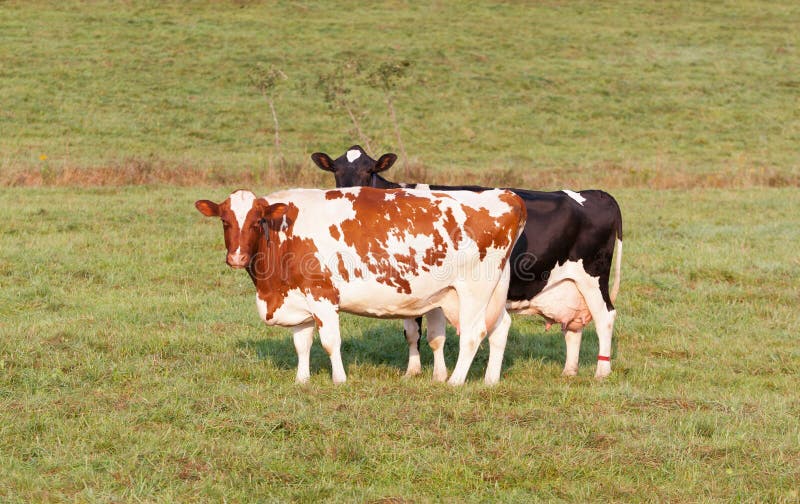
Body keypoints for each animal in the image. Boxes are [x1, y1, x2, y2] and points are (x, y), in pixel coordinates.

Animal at [195, 186, 527, 385]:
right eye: (225, 221)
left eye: (256, 221)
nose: (236, 257)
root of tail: (505, 195)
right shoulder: (297, 297)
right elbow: (302, 343)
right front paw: (302, 380)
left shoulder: (322, 296)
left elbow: (330, 342)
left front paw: (339, 379)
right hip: (493, 291)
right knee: (501, 328)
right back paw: (490, 380)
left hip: (473, 291)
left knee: (473, 333)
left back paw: (455, 382)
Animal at [312, 145, 623, 379]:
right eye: (336, 172)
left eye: (369, 171)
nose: (349, 198)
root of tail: (595, 194)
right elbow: (412, 331)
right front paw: (413, 371)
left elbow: (434, 335)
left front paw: (437, 375)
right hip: (569, 285)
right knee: (574, 327)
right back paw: (569, 371)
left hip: (593, 277)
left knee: (605, 317)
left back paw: (602, 371)